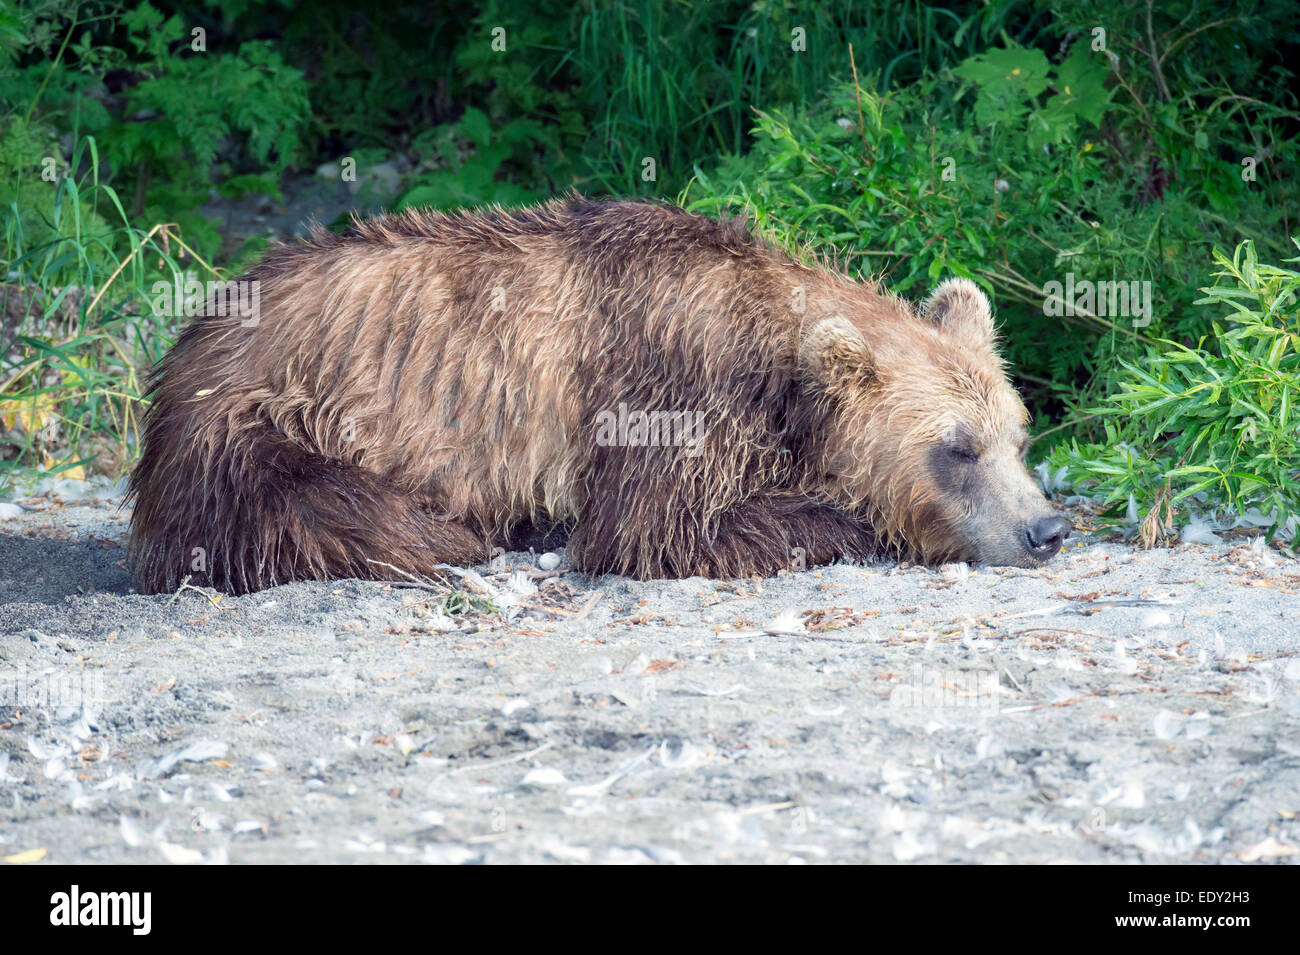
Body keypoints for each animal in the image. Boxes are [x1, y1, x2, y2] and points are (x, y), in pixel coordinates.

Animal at [127, 195, 1071, 594]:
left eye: (1019, 435)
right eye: (957, 448)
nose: (1048, 529)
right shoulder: (666, 385)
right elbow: (654, 526)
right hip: (258, 417)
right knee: (320, 506)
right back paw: (454, 536)